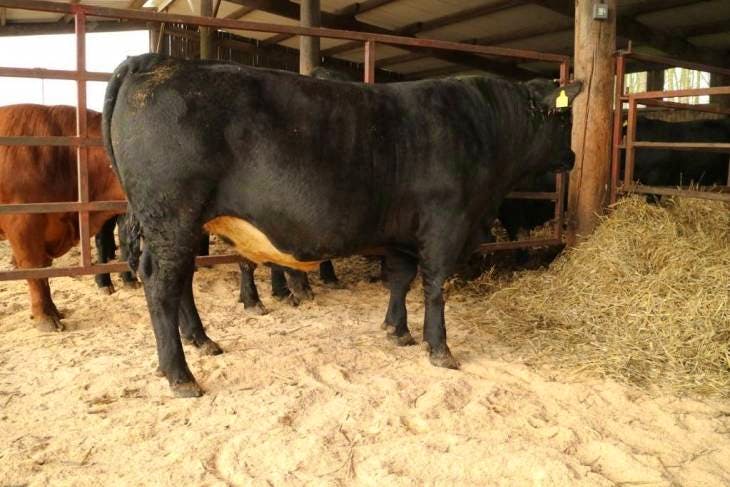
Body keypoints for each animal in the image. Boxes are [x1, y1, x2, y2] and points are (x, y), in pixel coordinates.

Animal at [103, 53, 581, 397]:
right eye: (565, 118)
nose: (572, 157)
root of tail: (155, 61)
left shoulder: (403, 232)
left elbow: (401, 279)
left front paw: (396, 330)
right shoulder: (447, 223)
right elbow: (435, 286)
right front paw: (440, 349)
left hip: (182, 224)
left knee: (180, 280)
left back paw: (202, 341)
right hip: (172, 215)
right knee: (161, 283)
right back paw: (180, 374)